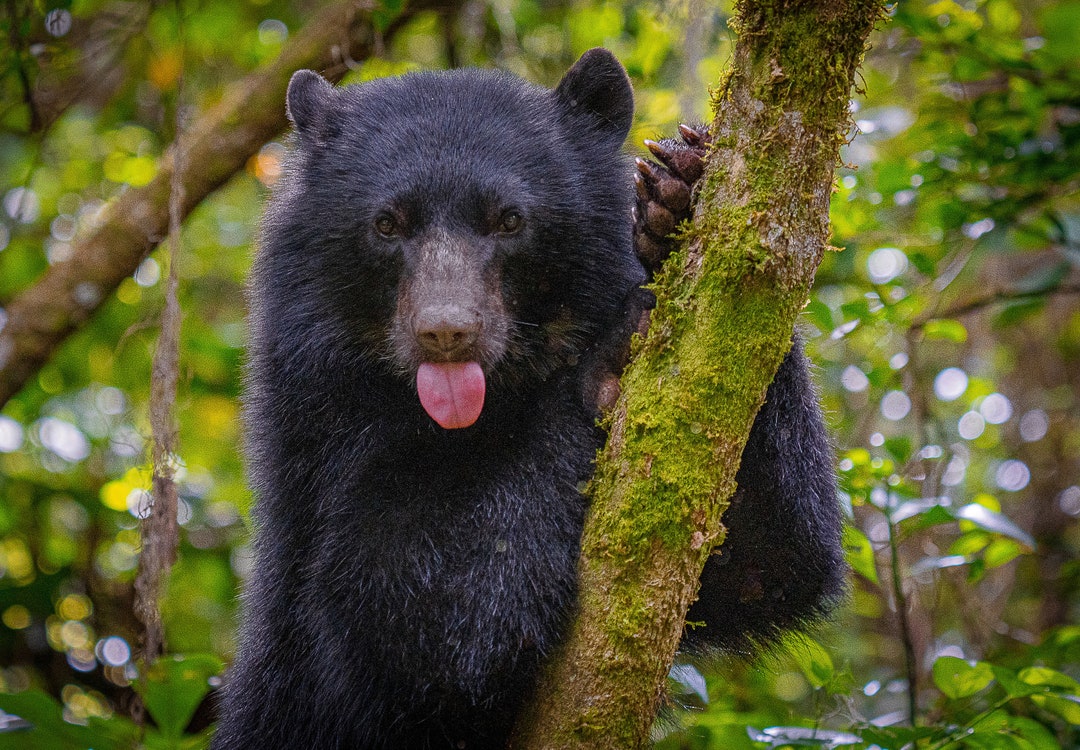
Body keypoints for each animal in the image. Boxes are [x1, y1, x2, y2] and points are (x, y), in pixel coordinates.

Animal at [211, 48, 843, 750]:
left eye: (510, 220)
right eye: (386, 224)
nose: (447, 331)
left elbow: (765, 558)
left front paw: (677, 191)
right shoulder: (320, 451)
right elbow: (419, 615)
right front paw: (607, 362)